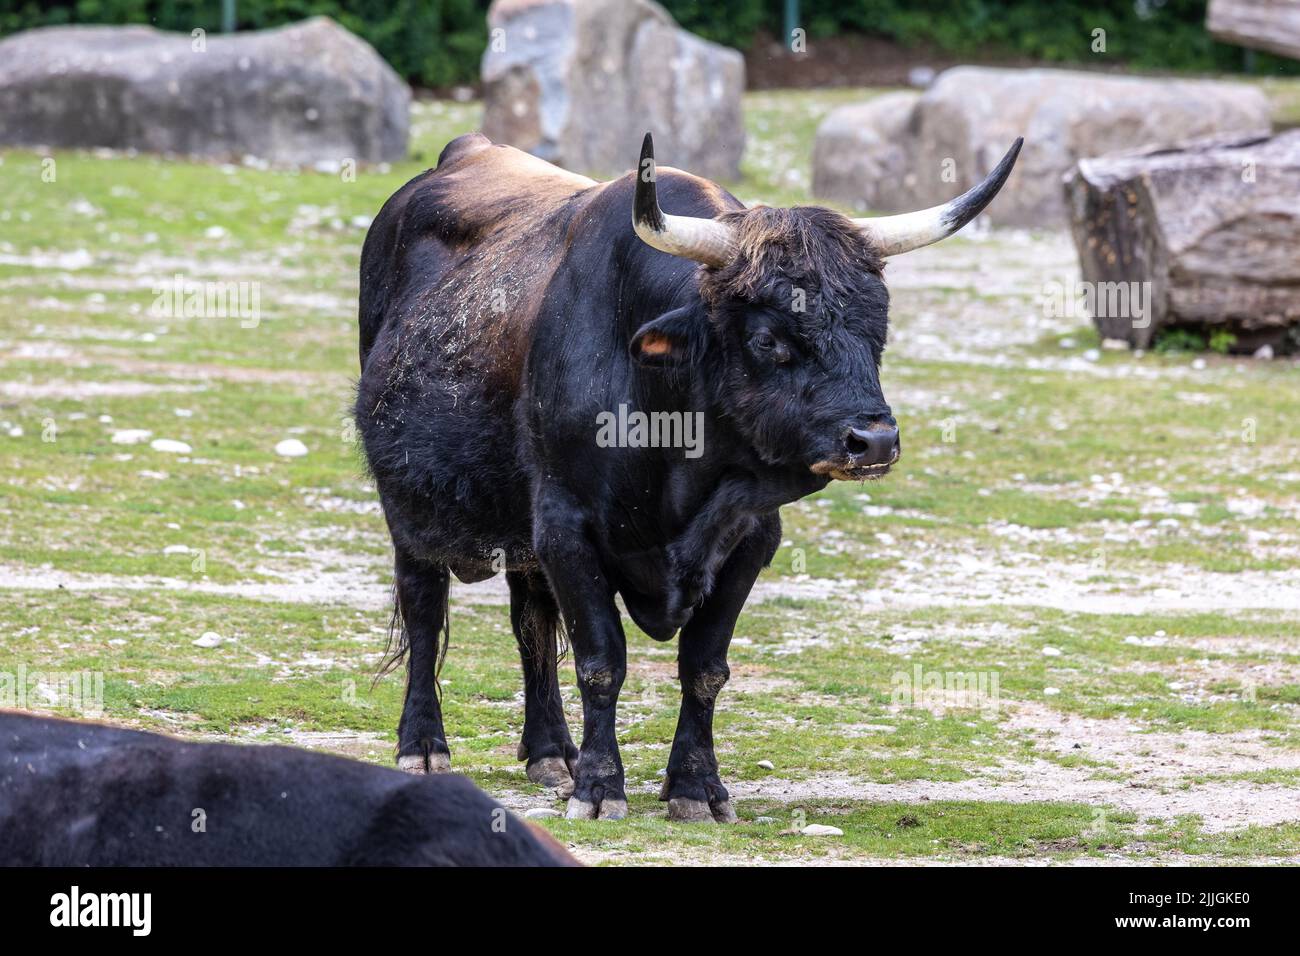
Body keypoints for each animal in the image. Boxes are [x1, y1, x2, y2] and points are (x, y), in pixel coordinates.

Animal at [356, 131, 1021, 821]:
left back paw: (551, 752)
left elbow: (704, 666)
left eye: (876, 328)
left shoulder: (749, 538)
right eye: (769, 338)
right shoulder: (566, 526)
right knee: (425, 609)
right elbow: (601, 660)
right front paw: (600, 787)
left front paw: (694, 787)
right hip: (408, 508)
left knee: (530, 620)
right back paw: (424, 745)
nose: (875, 441)